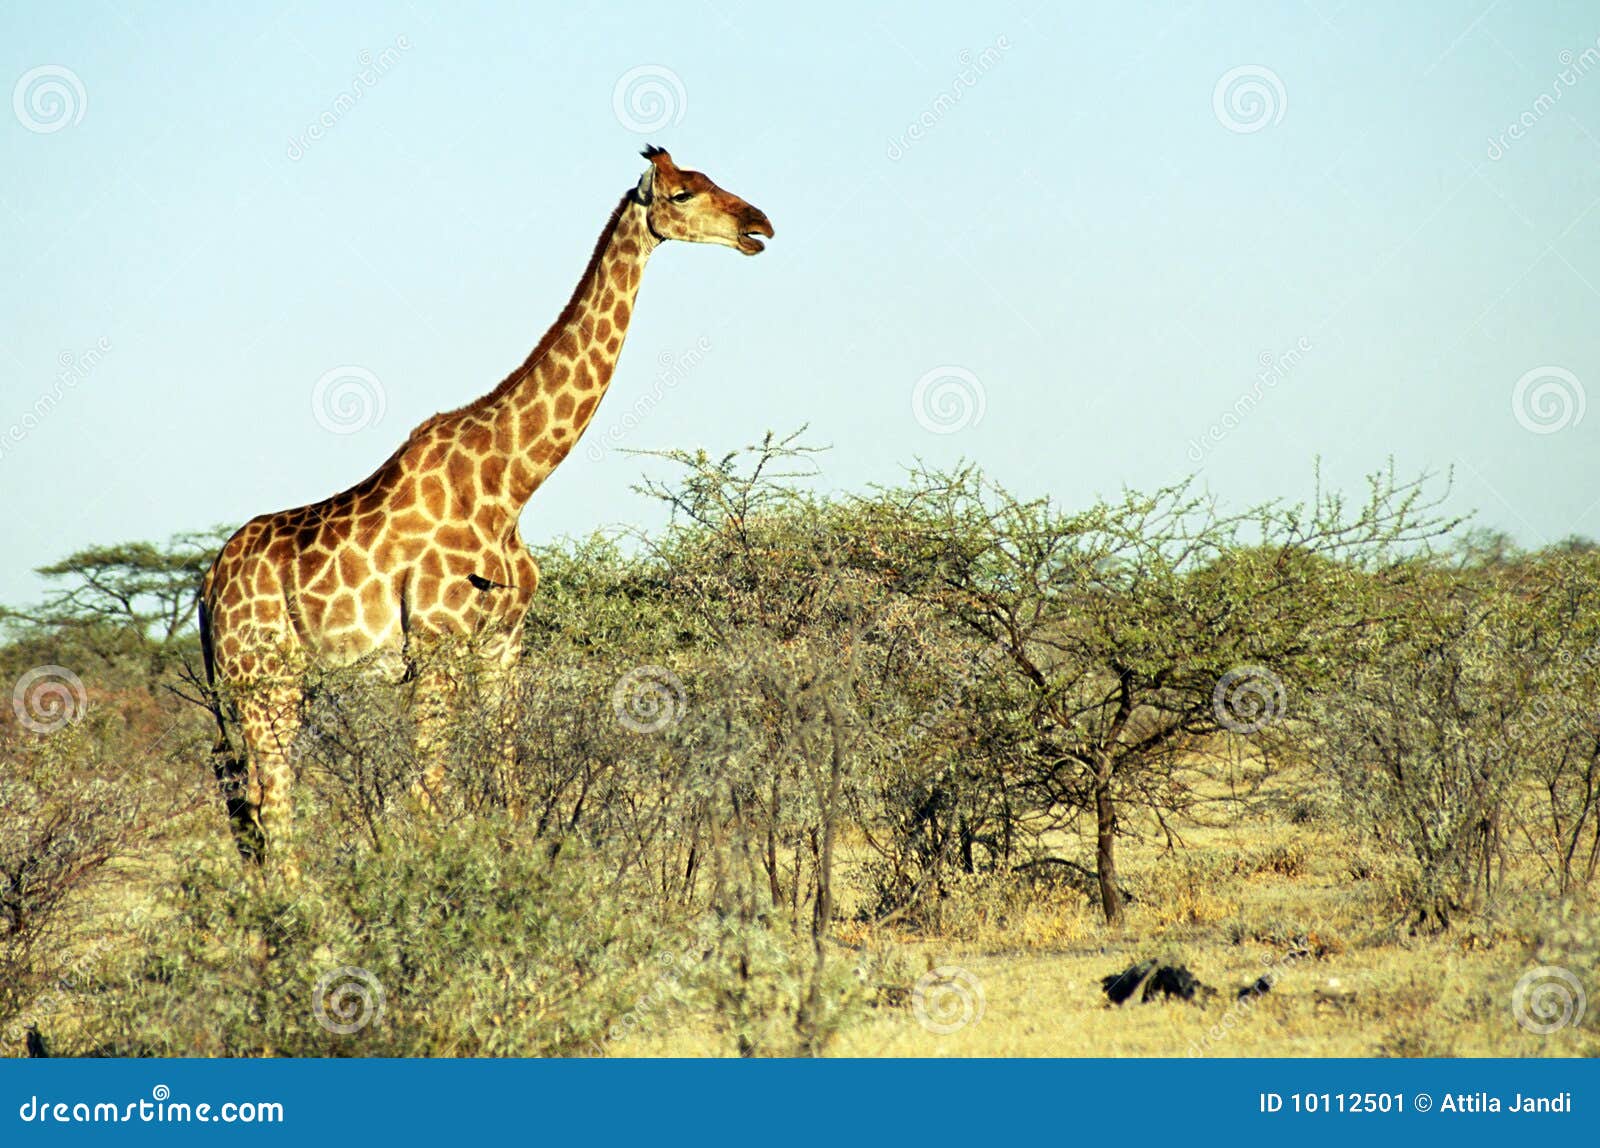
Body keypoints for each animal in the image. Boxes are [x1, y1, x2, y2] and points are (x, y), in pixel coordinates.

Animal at [199, 147, 773, 872]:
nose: (760, 225)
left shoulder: (504, 643)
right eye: (682, 194)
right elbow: (428, 798)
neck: (512, 482)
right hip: (263, 680)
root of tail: (207, 584)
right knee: (272, 812)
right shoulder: (435, 649)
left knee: (250, 813)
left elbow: (509, 786)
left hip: (259, 686)